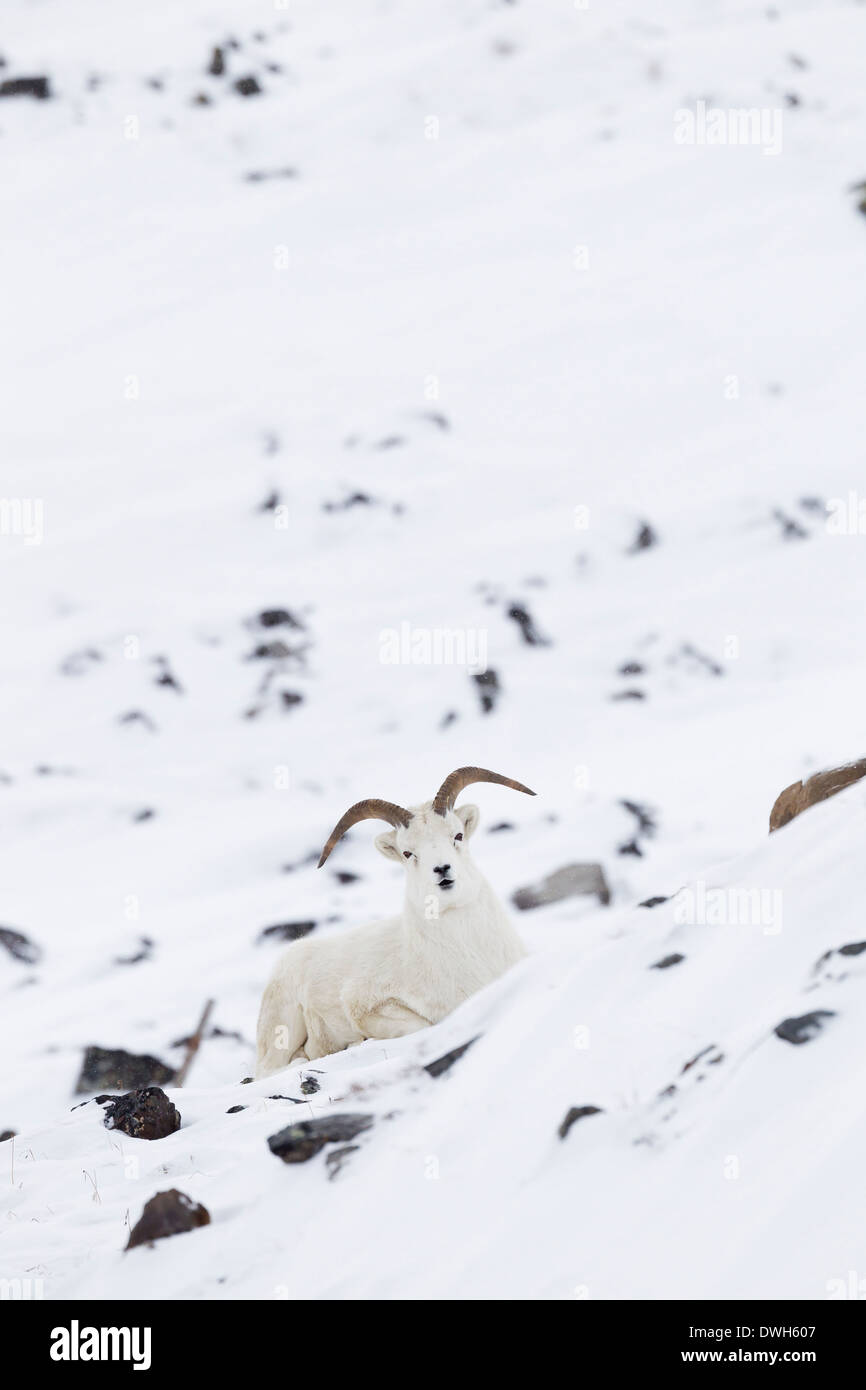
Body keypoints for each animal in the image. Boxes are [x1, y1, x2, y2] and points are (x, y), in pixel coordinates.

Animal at [255, 766, 534, 1077]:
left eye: (458, 835)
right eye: (408, 853)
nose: (442, 870)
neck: (468, 952)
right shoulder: (366, 1006)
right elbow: (422, 1025)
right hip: (284, 1028)